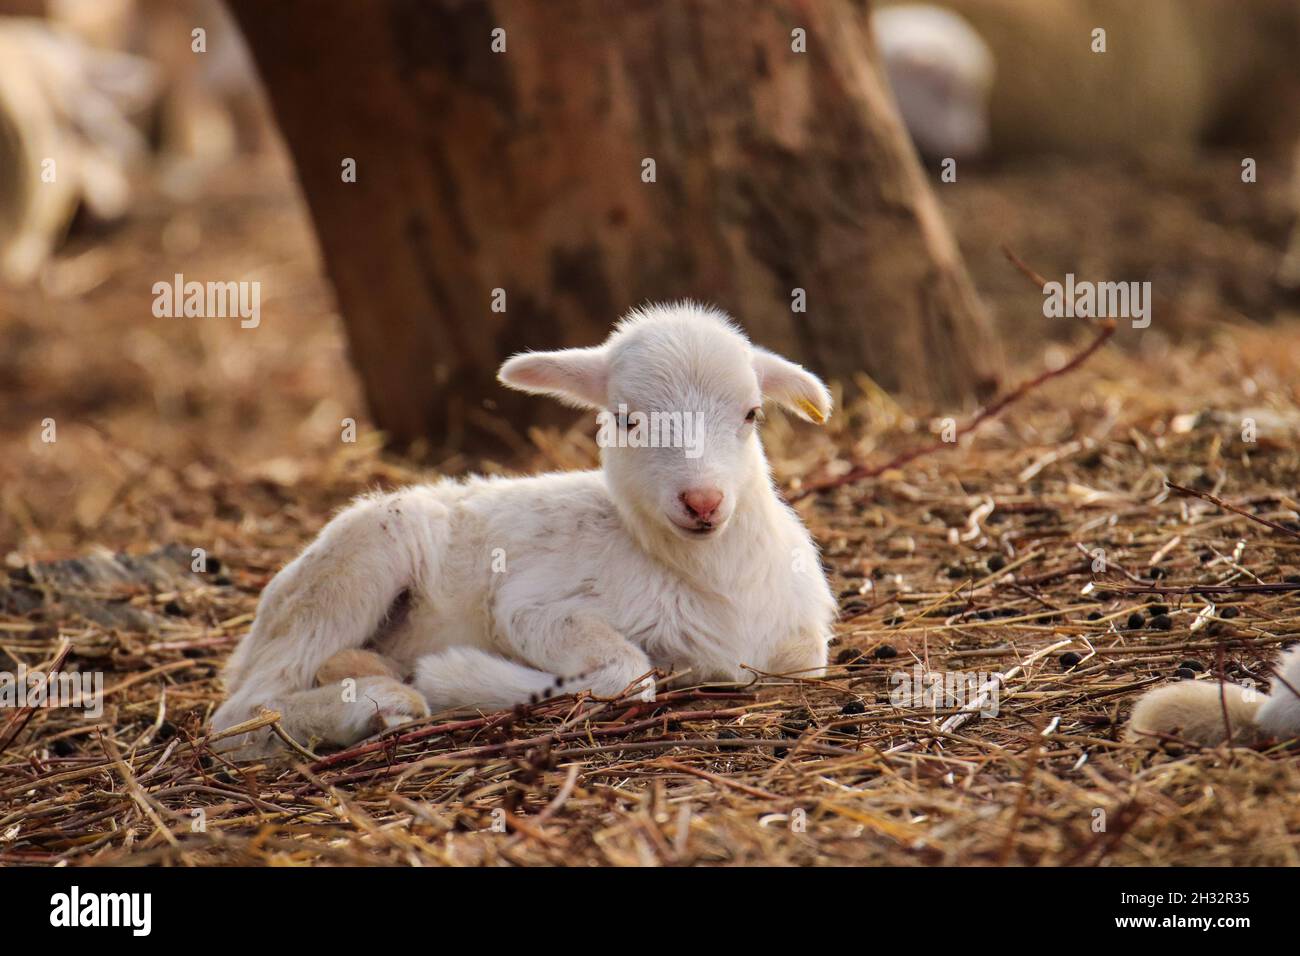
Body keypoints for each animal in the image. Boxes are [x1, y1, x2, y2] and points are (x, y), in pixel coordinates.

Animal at [208, 303, 837, 759]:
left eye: (752, 414)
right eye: (626, 419)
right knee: (239, 716)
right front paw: (453, 677)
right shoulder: (529, 607)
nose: (703, 500)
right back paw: (376, 701)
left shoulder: (801, 644)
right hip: (357, 561)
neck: (716, 581)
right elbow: (629, 674)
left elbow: (803, 664)